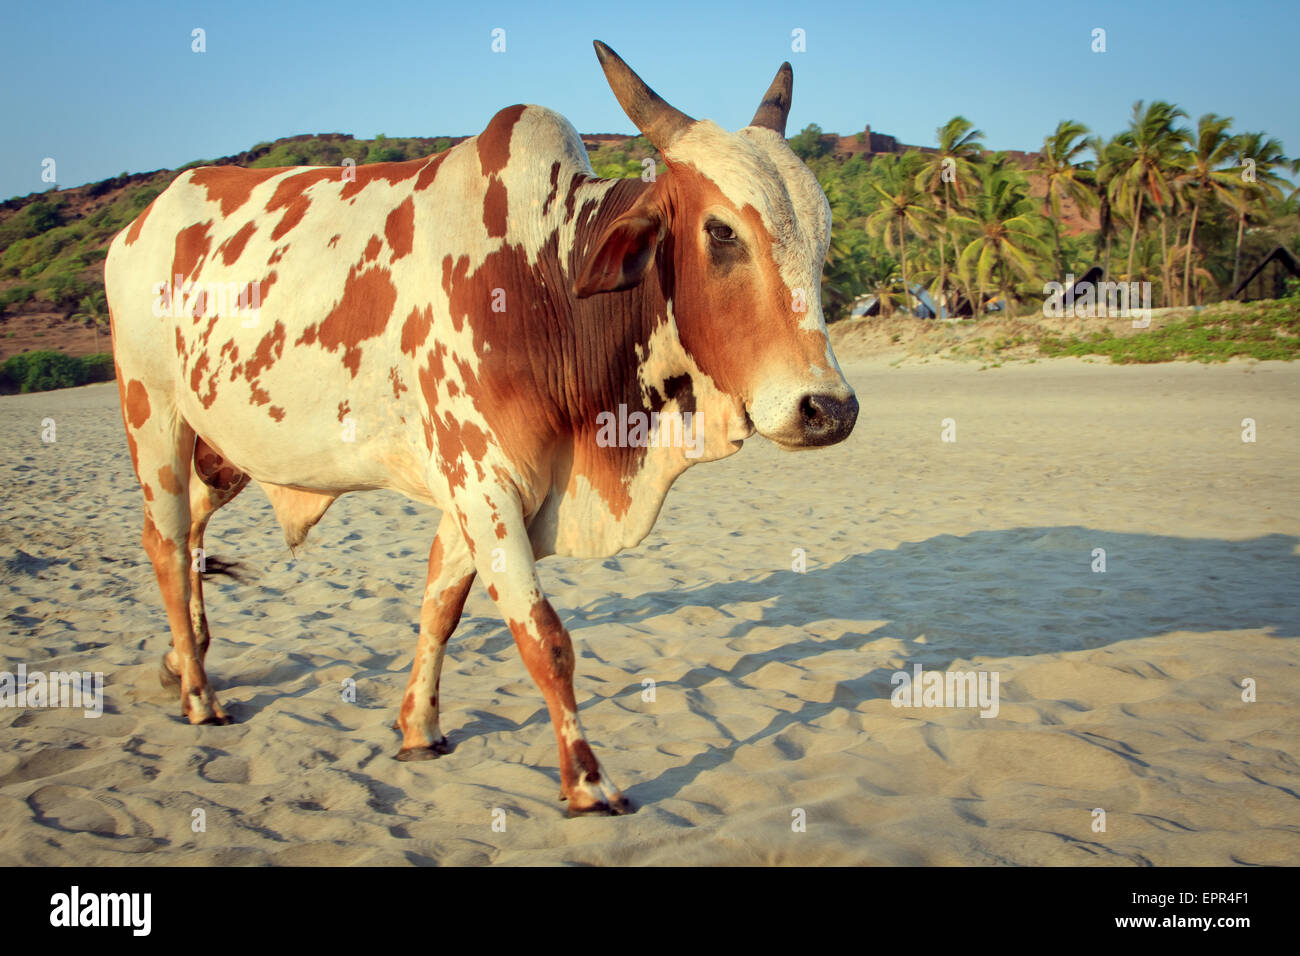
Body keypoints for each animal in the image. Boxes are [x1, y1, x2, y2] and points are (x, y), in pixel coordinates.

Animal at [104, 41, 858, 815]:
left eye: (823, 237)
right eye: (721, 231)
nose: (828, 409)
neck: (543, 278)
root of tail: (140, 224)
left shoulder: (478, 488)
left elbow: (440, 604)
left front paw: (419, 728)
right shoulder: (484, 484)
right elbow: (545, 637)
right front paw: (588, 780)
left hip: (226, 448)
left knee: (192, 529)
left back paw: (181, 658)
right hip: (153, 416)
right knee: (166, 544)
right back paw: (199, 695)